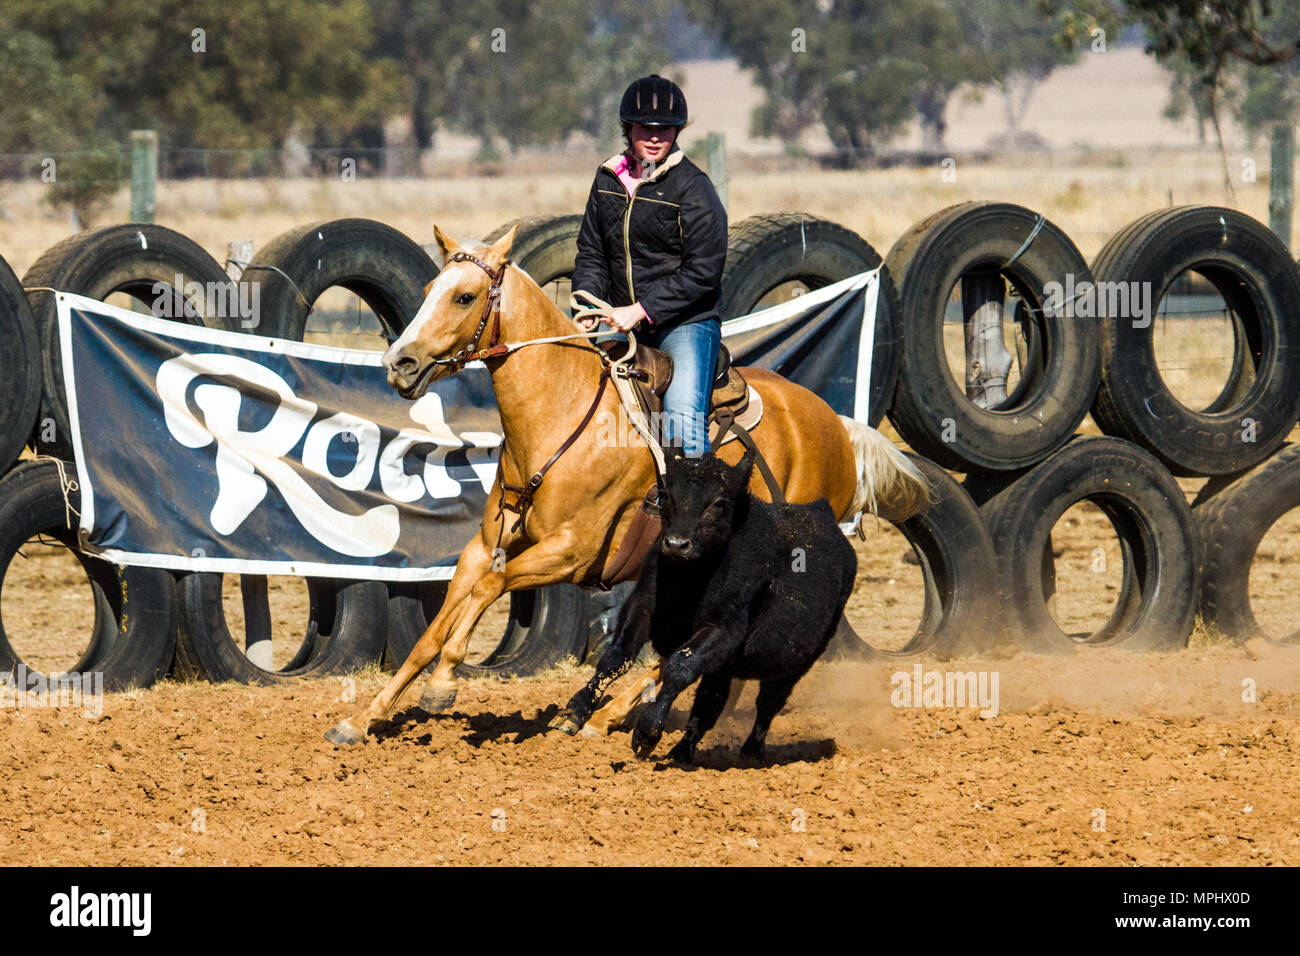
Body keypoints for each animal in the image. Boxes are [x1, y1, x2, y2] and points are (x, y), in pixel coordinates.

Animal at [324, 223, 929, 746]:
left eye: (465, 296)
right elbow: (440, 622)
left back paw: (605, 715)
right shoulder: (486, 544)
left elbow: (491, 589)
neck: (561, 417)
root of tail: (837, 425)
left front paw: (444, 684)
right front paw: (363, 718)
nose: (399, 363)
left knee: (703, 654)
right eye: (430, 289)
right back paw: (596, 714)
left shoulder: (571, 550)